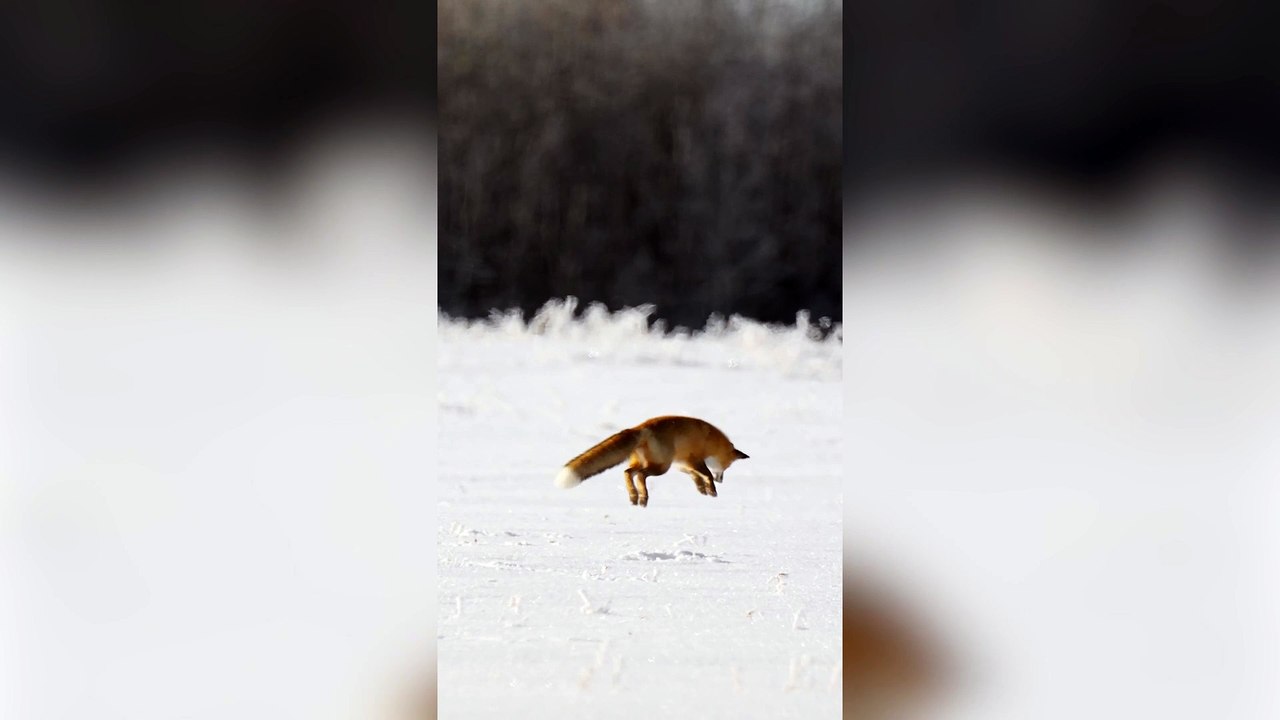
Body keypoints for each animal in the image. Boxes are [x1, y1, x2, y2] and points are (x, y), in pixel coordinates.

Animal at [554, 415, 748, 507]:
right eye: (727, 467)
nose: (721, 480)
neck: (712, 440)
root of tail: (641, 427)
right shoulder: (693, 459)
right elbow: (706, 474)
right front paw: (712, 490)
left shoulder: (682, 465)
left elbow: (696, 476)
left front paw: (702, 489)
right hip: (661, 467)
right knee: (640, 475)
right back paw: (643, 496)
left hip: (648, 464)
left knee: (628, 473)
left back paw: (635, 496)